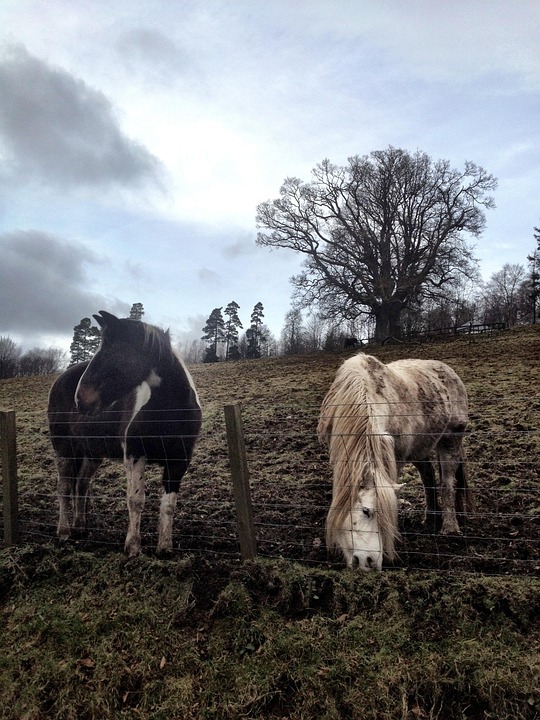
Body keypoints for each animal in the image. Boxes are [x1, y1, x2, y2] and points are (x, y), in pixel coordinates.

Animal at [48, 310, 202, 556]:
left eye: (110, 351)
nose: (80, 399)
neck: (170, 411)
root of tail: (60, 380)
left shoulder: (179, 460)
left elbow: (169, 505)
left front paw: (164, 548)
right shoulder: (135, 454)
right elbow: (135, 500)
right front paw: (133, 547)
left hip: (91, 453)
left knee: (81, 485)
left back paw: (80, 527)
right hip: (64, 448)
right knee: (64, 488)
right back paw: (64, 532)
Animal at [317, 352, 470, 571]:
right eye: (366, 511)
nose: (368, 562)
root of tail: (449, 371)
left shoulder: (394, 460)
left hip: (451, 439)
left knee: (447, 483)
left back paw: (449, 528)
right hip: (420, 448)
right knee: (428, 478)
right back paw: (430, 518)